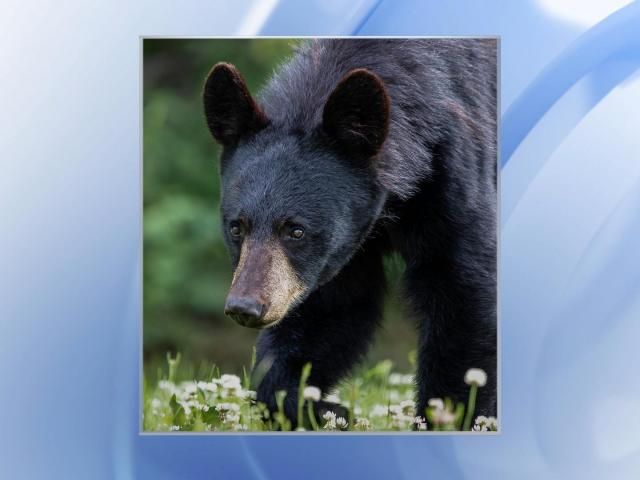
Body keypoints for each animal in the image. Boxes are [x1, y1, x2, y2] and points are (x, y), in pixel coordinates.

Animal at [202, 39, 497, 427]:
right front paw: (320, 408)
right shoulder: (338, 248)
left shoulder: (454, 172)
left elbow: (462, 288)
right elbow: (331, 308)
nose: (246, 307)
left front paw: (447, 416)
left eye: (296, 230)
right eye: (237, 227)